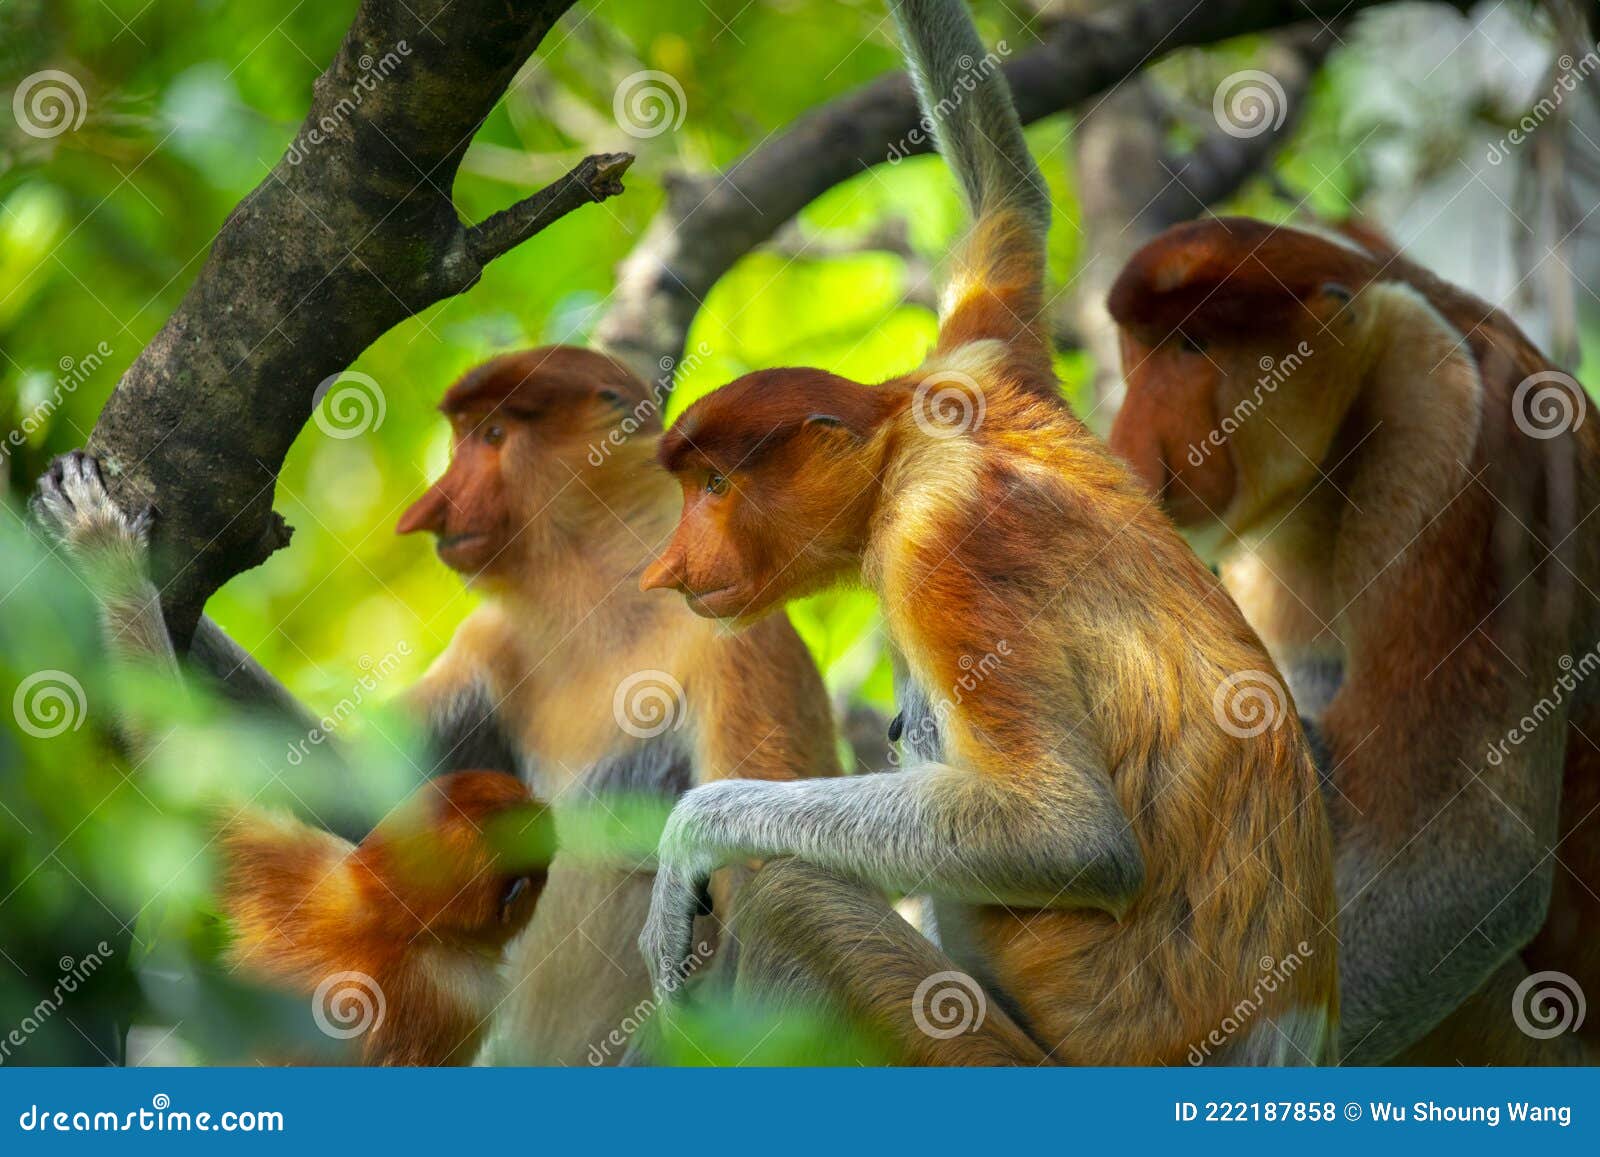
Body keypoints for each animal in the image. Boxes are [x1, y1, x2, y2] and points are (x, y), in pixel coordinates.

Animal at [30, 343, 840, 1066]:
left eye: (494, 436)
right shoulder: (493, 643)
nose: (429, 510)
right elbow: (365, 800)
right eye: (464, 434)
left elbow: (756, 865)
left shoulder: (743, 642)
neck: (602, 595)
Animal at [631, 0, 1338, 1066]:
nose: (670, 567)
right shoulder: (980, 359)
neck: (904, 446)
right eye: (687, 489)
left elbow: (1069, 835)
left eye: (714, 485)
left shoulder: (939, 539)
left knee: (792, 890)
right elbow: (1008, 200)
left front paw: (689, 842)